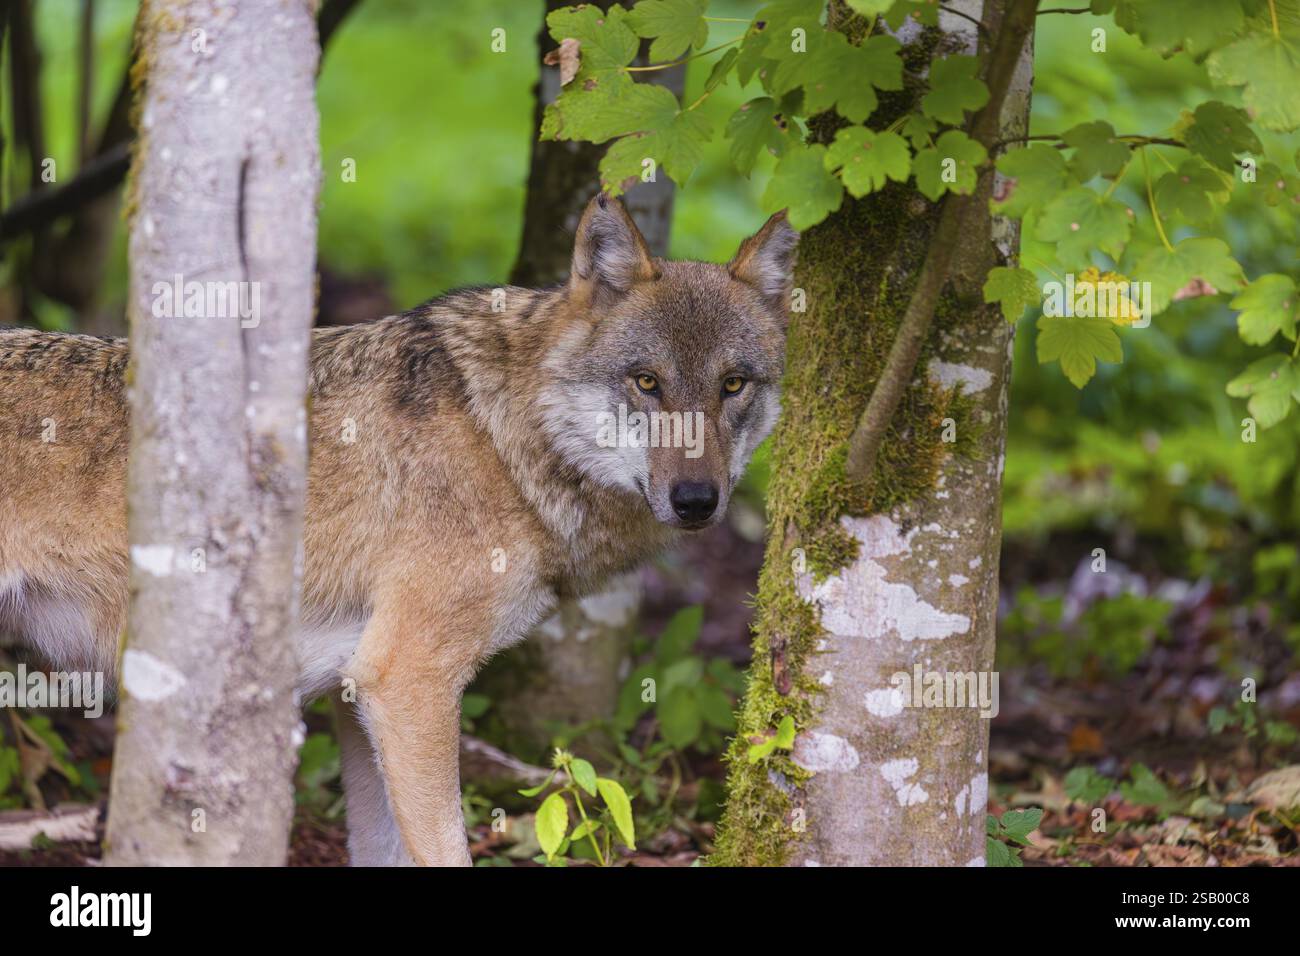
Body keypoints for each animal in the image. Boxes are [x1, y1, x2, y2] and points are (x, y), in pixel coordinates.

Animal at [0, 195, 797, 865]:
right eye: (647, 383)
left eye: (732, 385)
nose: (697, 501)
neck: (501, 439)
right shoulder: (406, 682)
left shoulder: (354, 697)